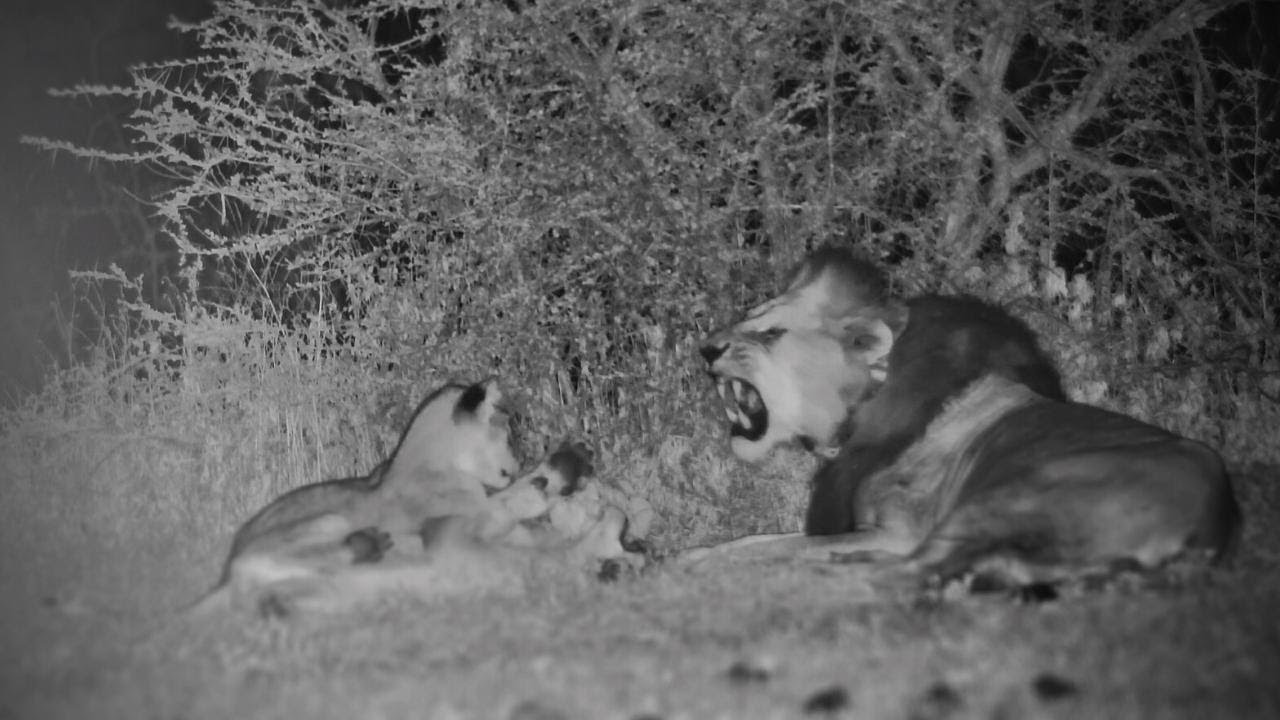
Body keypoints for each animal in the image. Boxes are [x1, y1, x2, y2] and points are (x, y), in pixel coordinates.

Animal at [688, 247, 1241, 587]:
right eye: (748, 316)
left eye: (772, 333)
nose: (707, 348)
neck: (864, 405)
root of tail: (1215, 519)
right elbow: (761, 540)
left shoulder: (900, 530)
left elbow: (776, 549)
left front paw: (695, 564)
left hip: (1004, 494)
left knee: (905, 570)